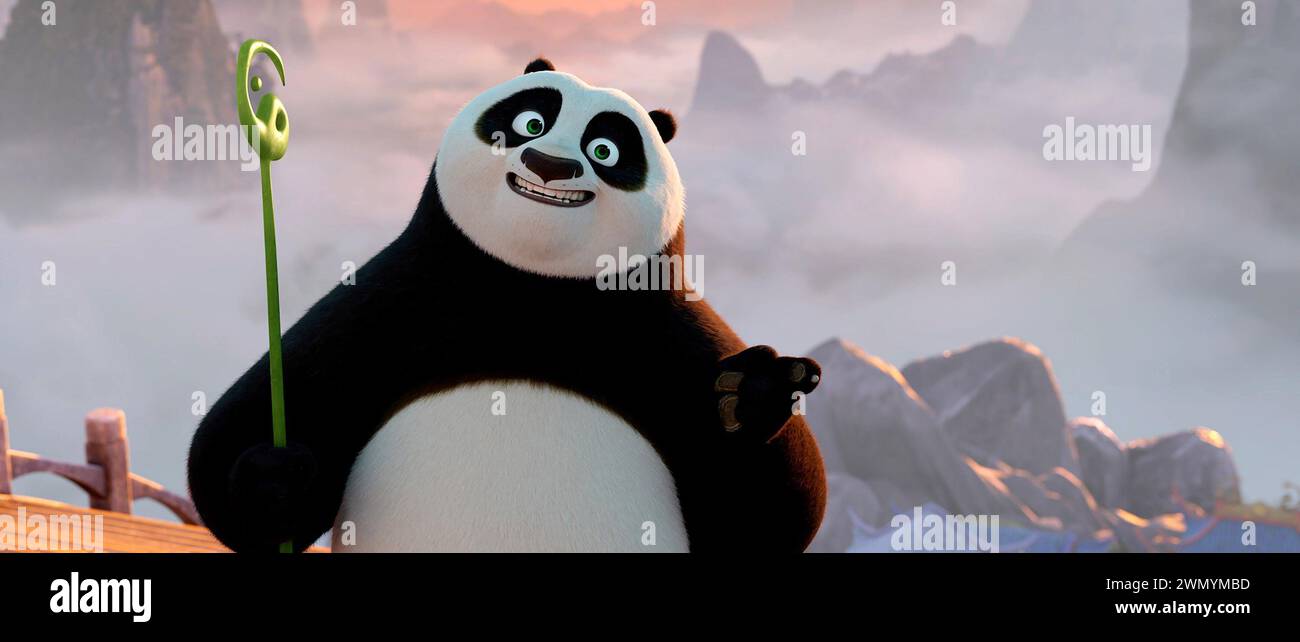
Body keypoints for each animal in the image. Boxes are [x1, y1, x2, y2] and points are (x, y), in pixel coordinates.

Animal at [187, 58, 826, 553]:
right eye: (529, 122)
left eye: (605, 149)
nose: (550, 165)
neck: (529, 292)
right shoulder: (384, 310)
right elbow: (235, 443)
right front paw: (276, 480)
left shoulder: (668, 335)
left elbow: (770, 518)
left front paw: (754, 394)